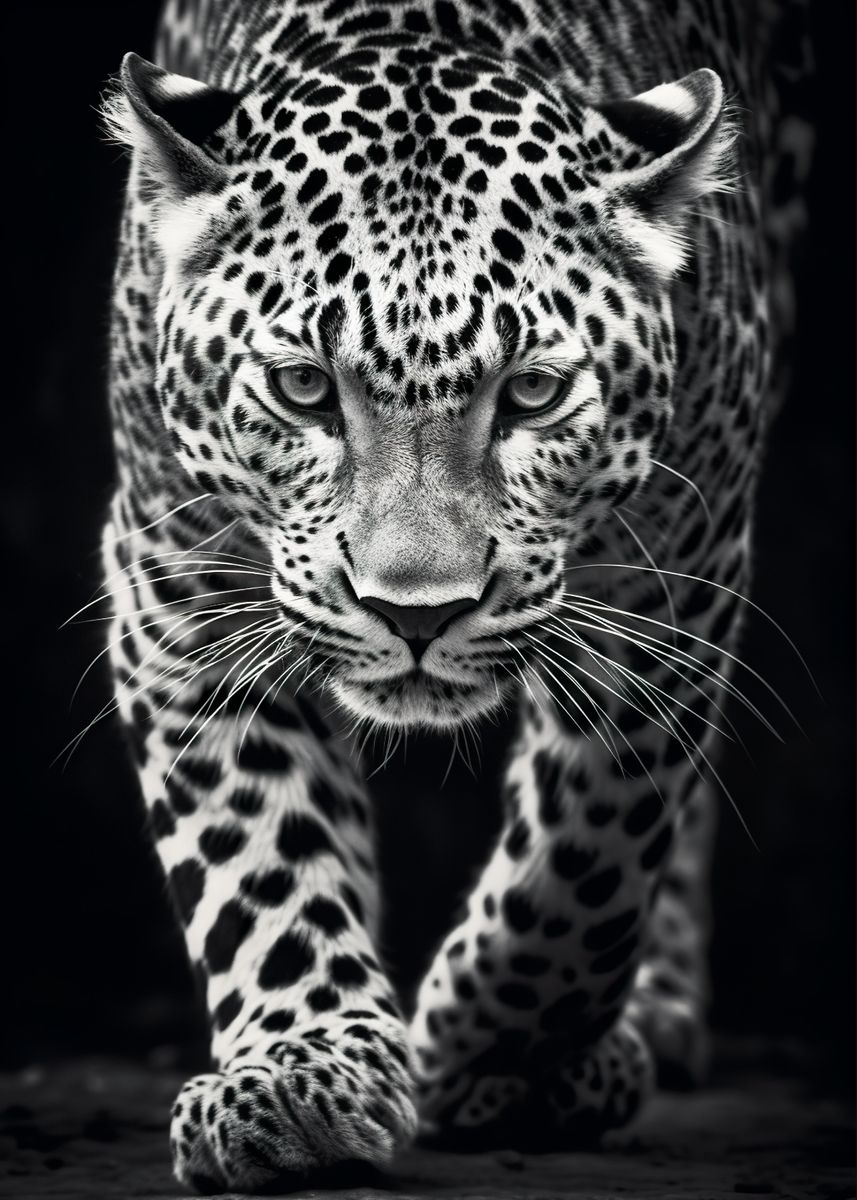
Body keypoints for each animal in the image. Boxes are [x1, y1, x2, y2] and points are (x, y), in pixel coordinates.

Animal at [95, 0, 812, 1191]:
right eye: (303, 388)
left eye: (531, 393)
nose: (415, 612)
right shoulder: (177, 584)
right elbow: (256, 846)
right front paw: (299, 1079)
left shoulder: (684, 567)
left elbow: (594, 839)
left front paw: (492, 1056)